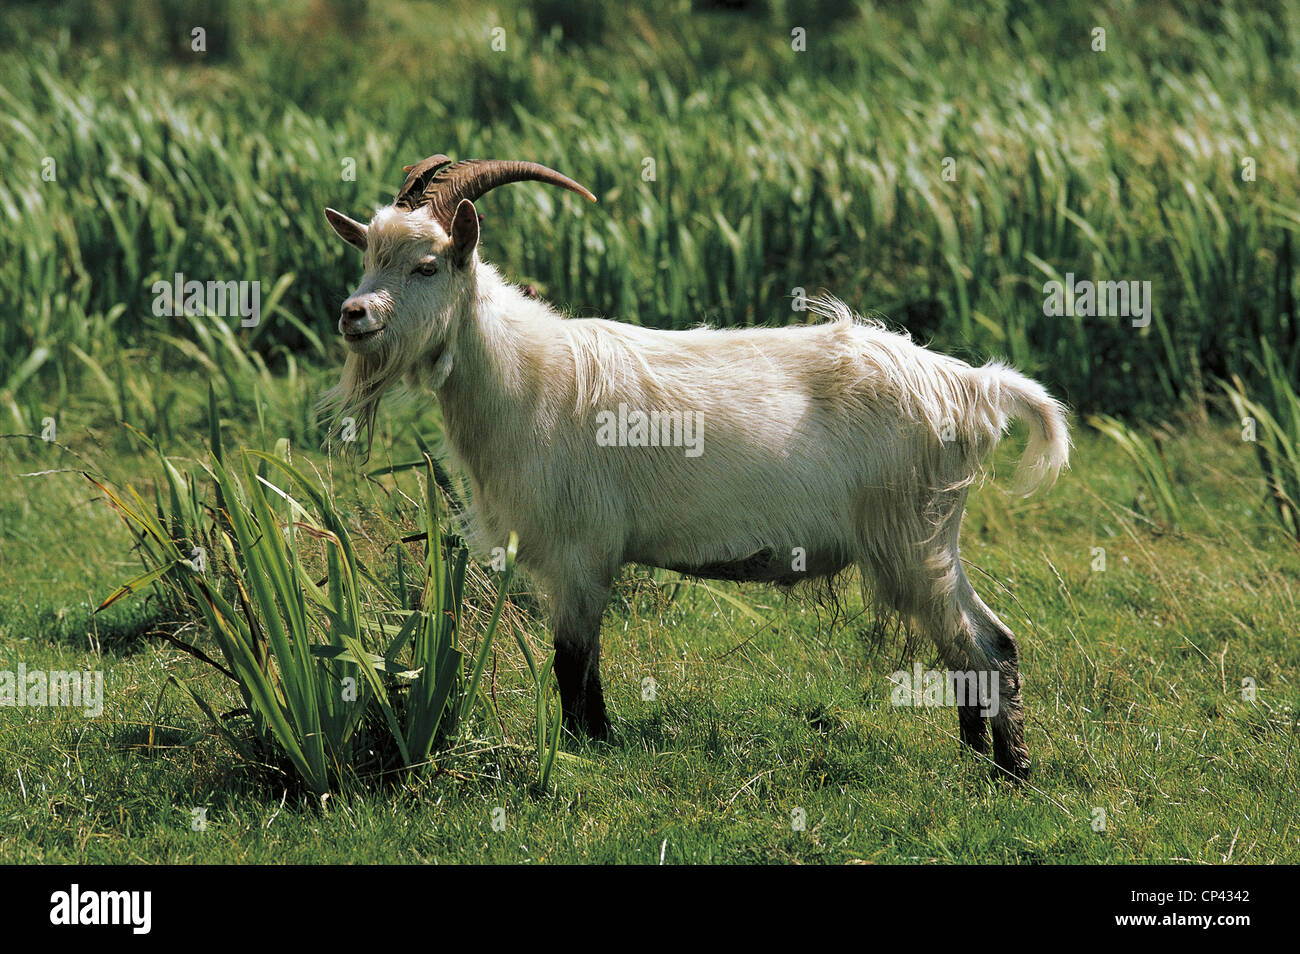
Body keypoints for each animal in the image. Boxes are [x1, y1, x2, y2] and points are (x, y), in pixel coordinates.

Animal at [321, 154, 1070, 778]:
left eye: (427, 265)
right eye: (368, 258)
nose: (353, 314)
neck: (528, 377)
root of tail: (971, 385)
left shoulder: (580, 552)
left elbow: (573, 663)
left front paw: (586, 753)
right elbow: (585, 664)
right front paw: (600, 744)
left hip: (913, 536)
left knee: (983, 644)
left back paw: (1009, 771)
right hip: (929, 538)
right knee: (980, 643)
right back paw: (980, 758)